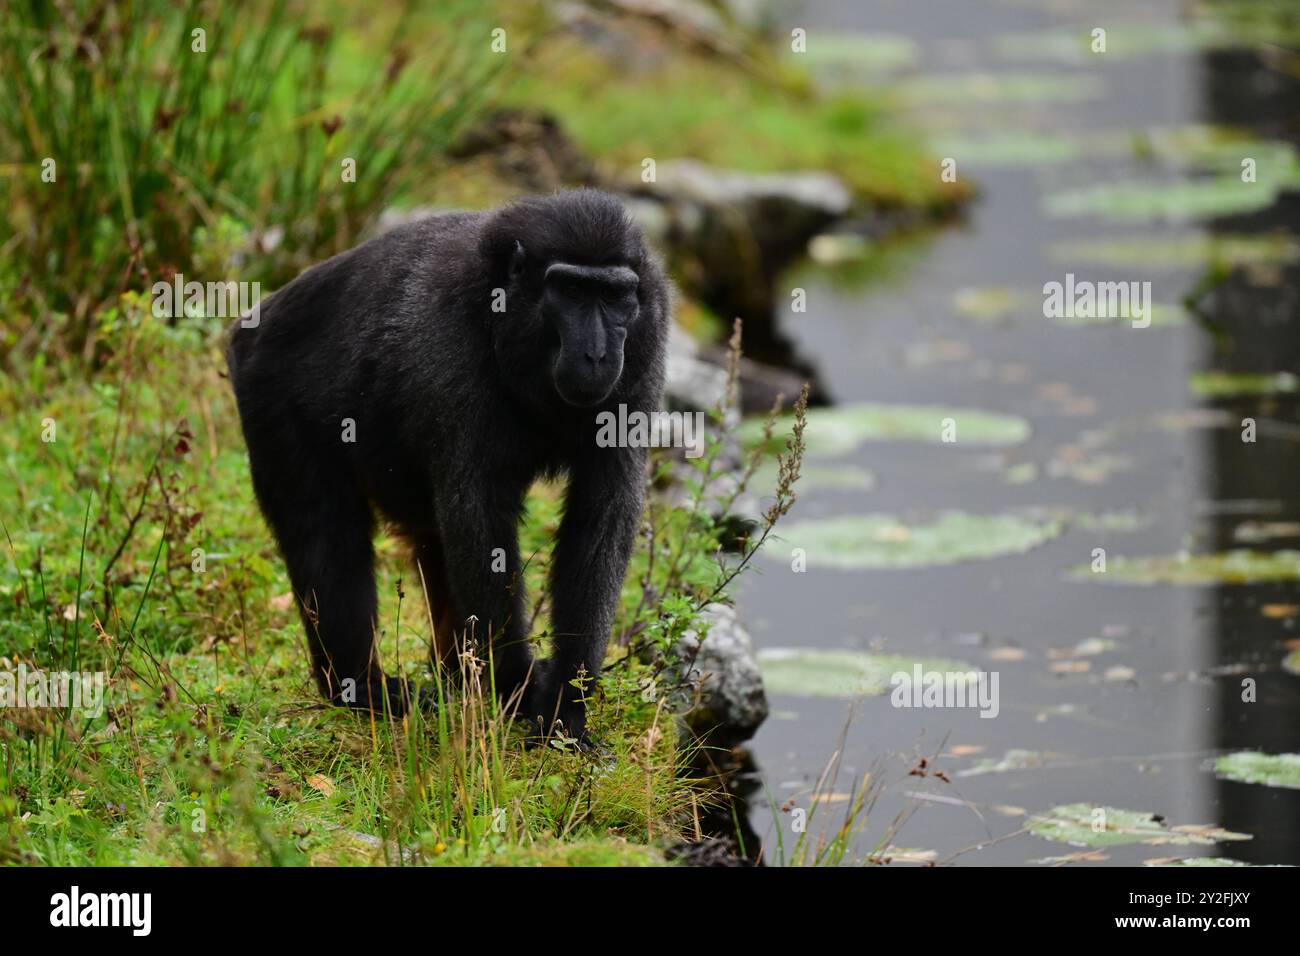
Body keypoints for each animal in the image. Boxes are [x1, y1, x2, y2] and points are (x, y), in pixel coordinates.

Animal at [226, 189, 670, 744]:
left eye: (611, 296)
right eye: (570, 290)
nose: (596, 353)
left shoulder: (648, 337)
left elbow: (600, 518)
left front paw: (565, 700)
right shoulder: (451, 336)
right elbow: (479, 526)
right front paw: (517, 687)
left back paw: (455, 673)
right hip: (267, 389)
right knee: (324, 531)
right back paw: (360, 687)